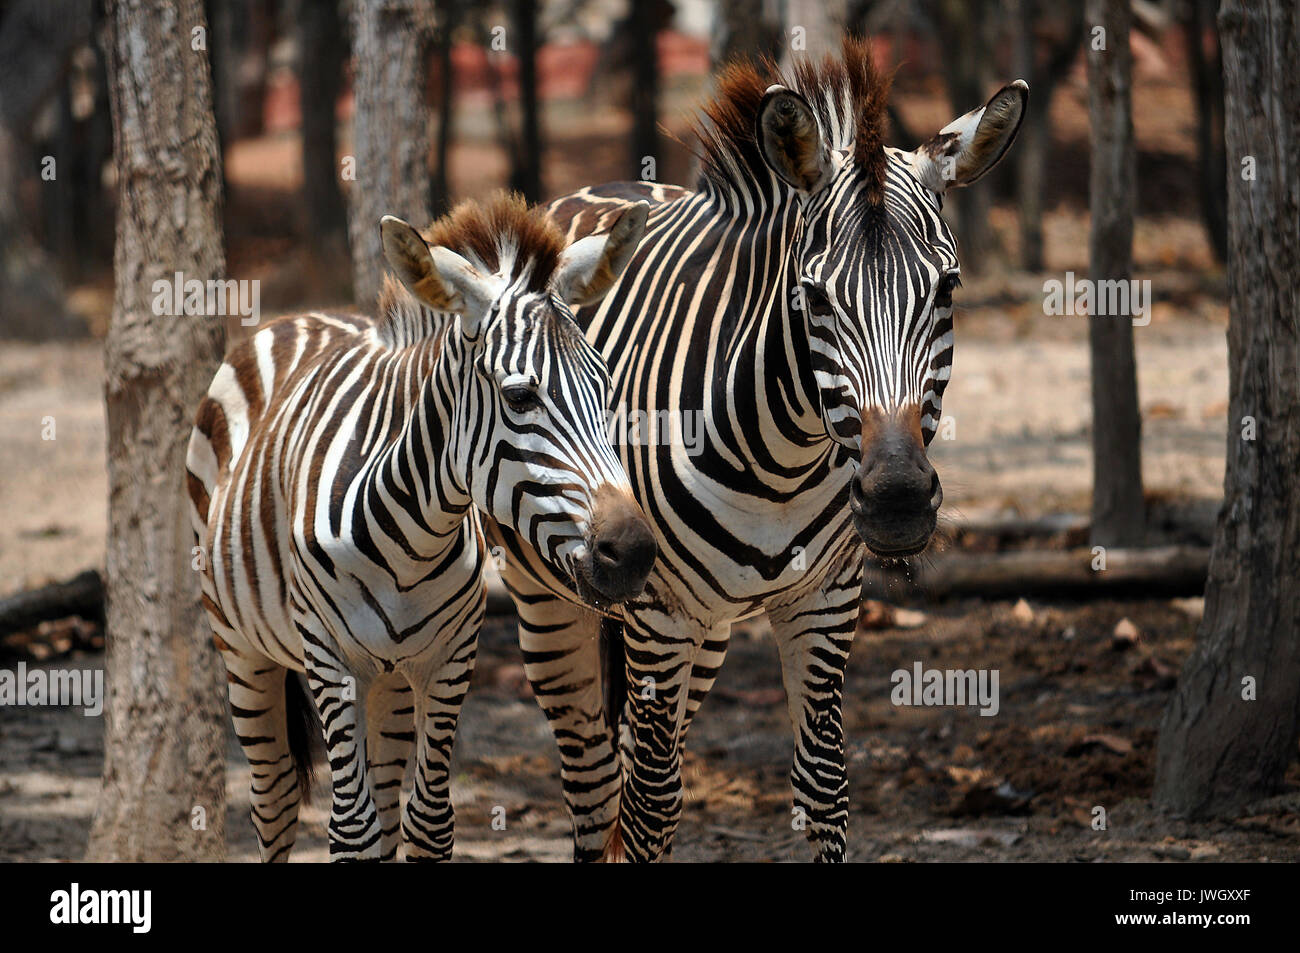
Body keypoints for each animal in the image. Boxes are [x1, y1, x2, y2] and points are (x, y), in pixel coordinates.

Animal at [185, 192, 656, 861]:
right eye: (520, 397)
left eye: (606, 387)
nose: (634, 551)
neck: (409, 540)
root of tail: (300, 318)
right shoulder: (328, 659)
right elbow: (351, 828)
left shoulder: (449, 658)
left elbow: (427, 821)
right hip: (242, 649)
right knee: (274, 801)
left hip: (388, 681)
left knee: (383, 802)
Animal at [485, 38, 1027, 861]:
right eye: (816, 295)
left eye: (948, 289)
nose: (898, 501)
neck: (782, 462)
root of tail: (594, 187)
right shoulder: (659, 613)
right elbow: (647, 806)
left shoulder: (825, 601)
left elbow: (824, 788)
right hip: (550, 599)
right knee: (596, 783)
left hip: (708, 633)